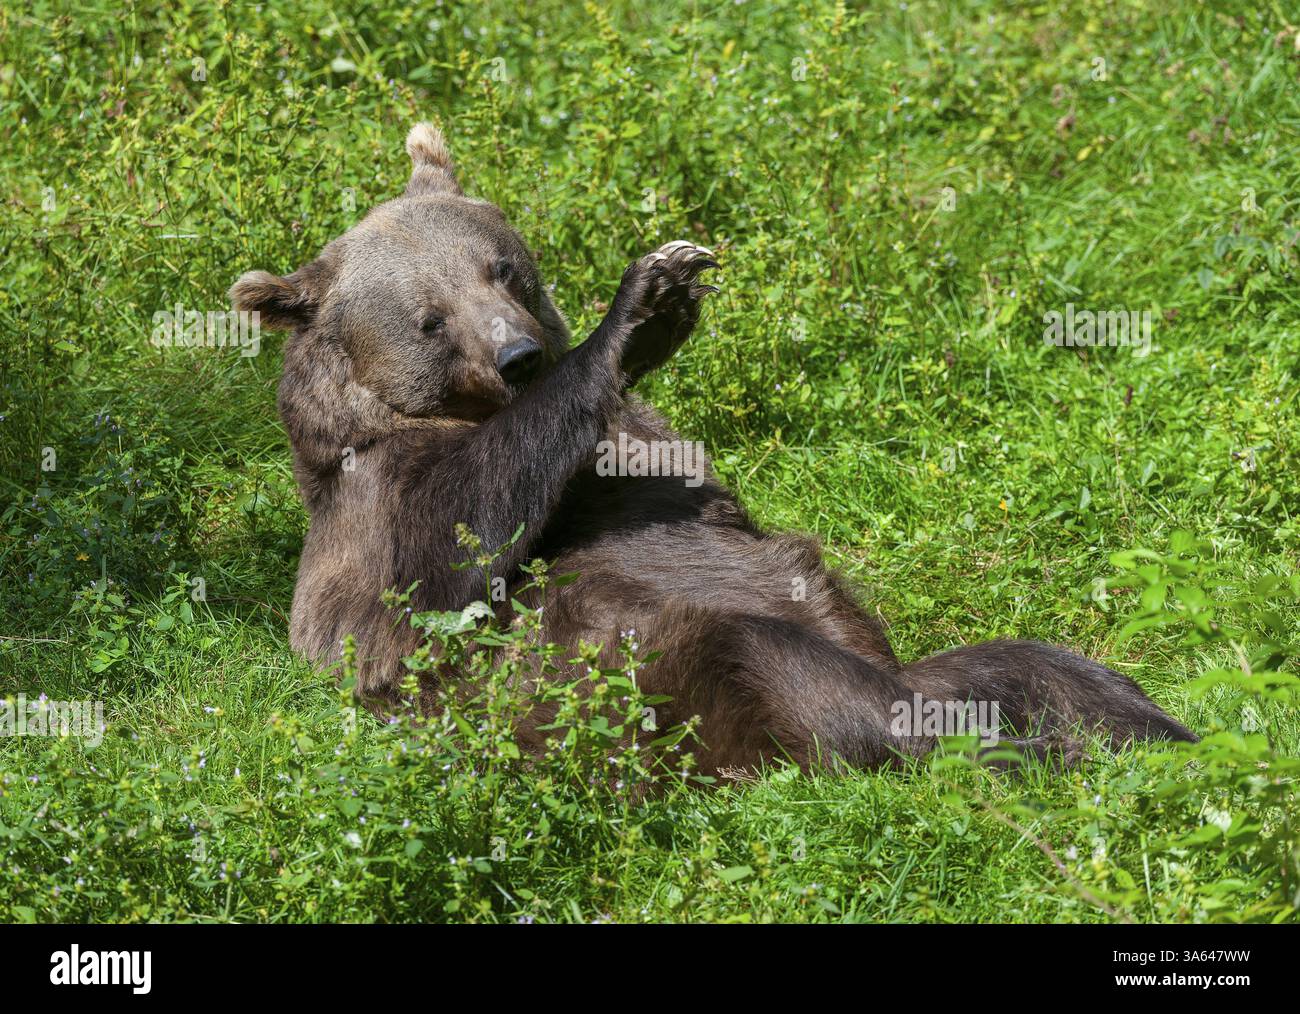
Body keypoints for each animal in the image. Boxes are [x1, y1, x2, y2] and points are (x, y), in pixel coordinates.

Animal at [230, 121, 1195, 777]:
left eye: (500, 267)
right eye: (429, 319)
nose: (519, 354)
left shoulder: (648, 453)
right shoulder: (373, 512)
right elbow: (445, 566)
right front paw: (643, 307)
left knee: (1033, 665)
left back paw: (1153, 729)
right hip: (675, 683)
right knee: (805, 675)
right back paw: (1018, 751)